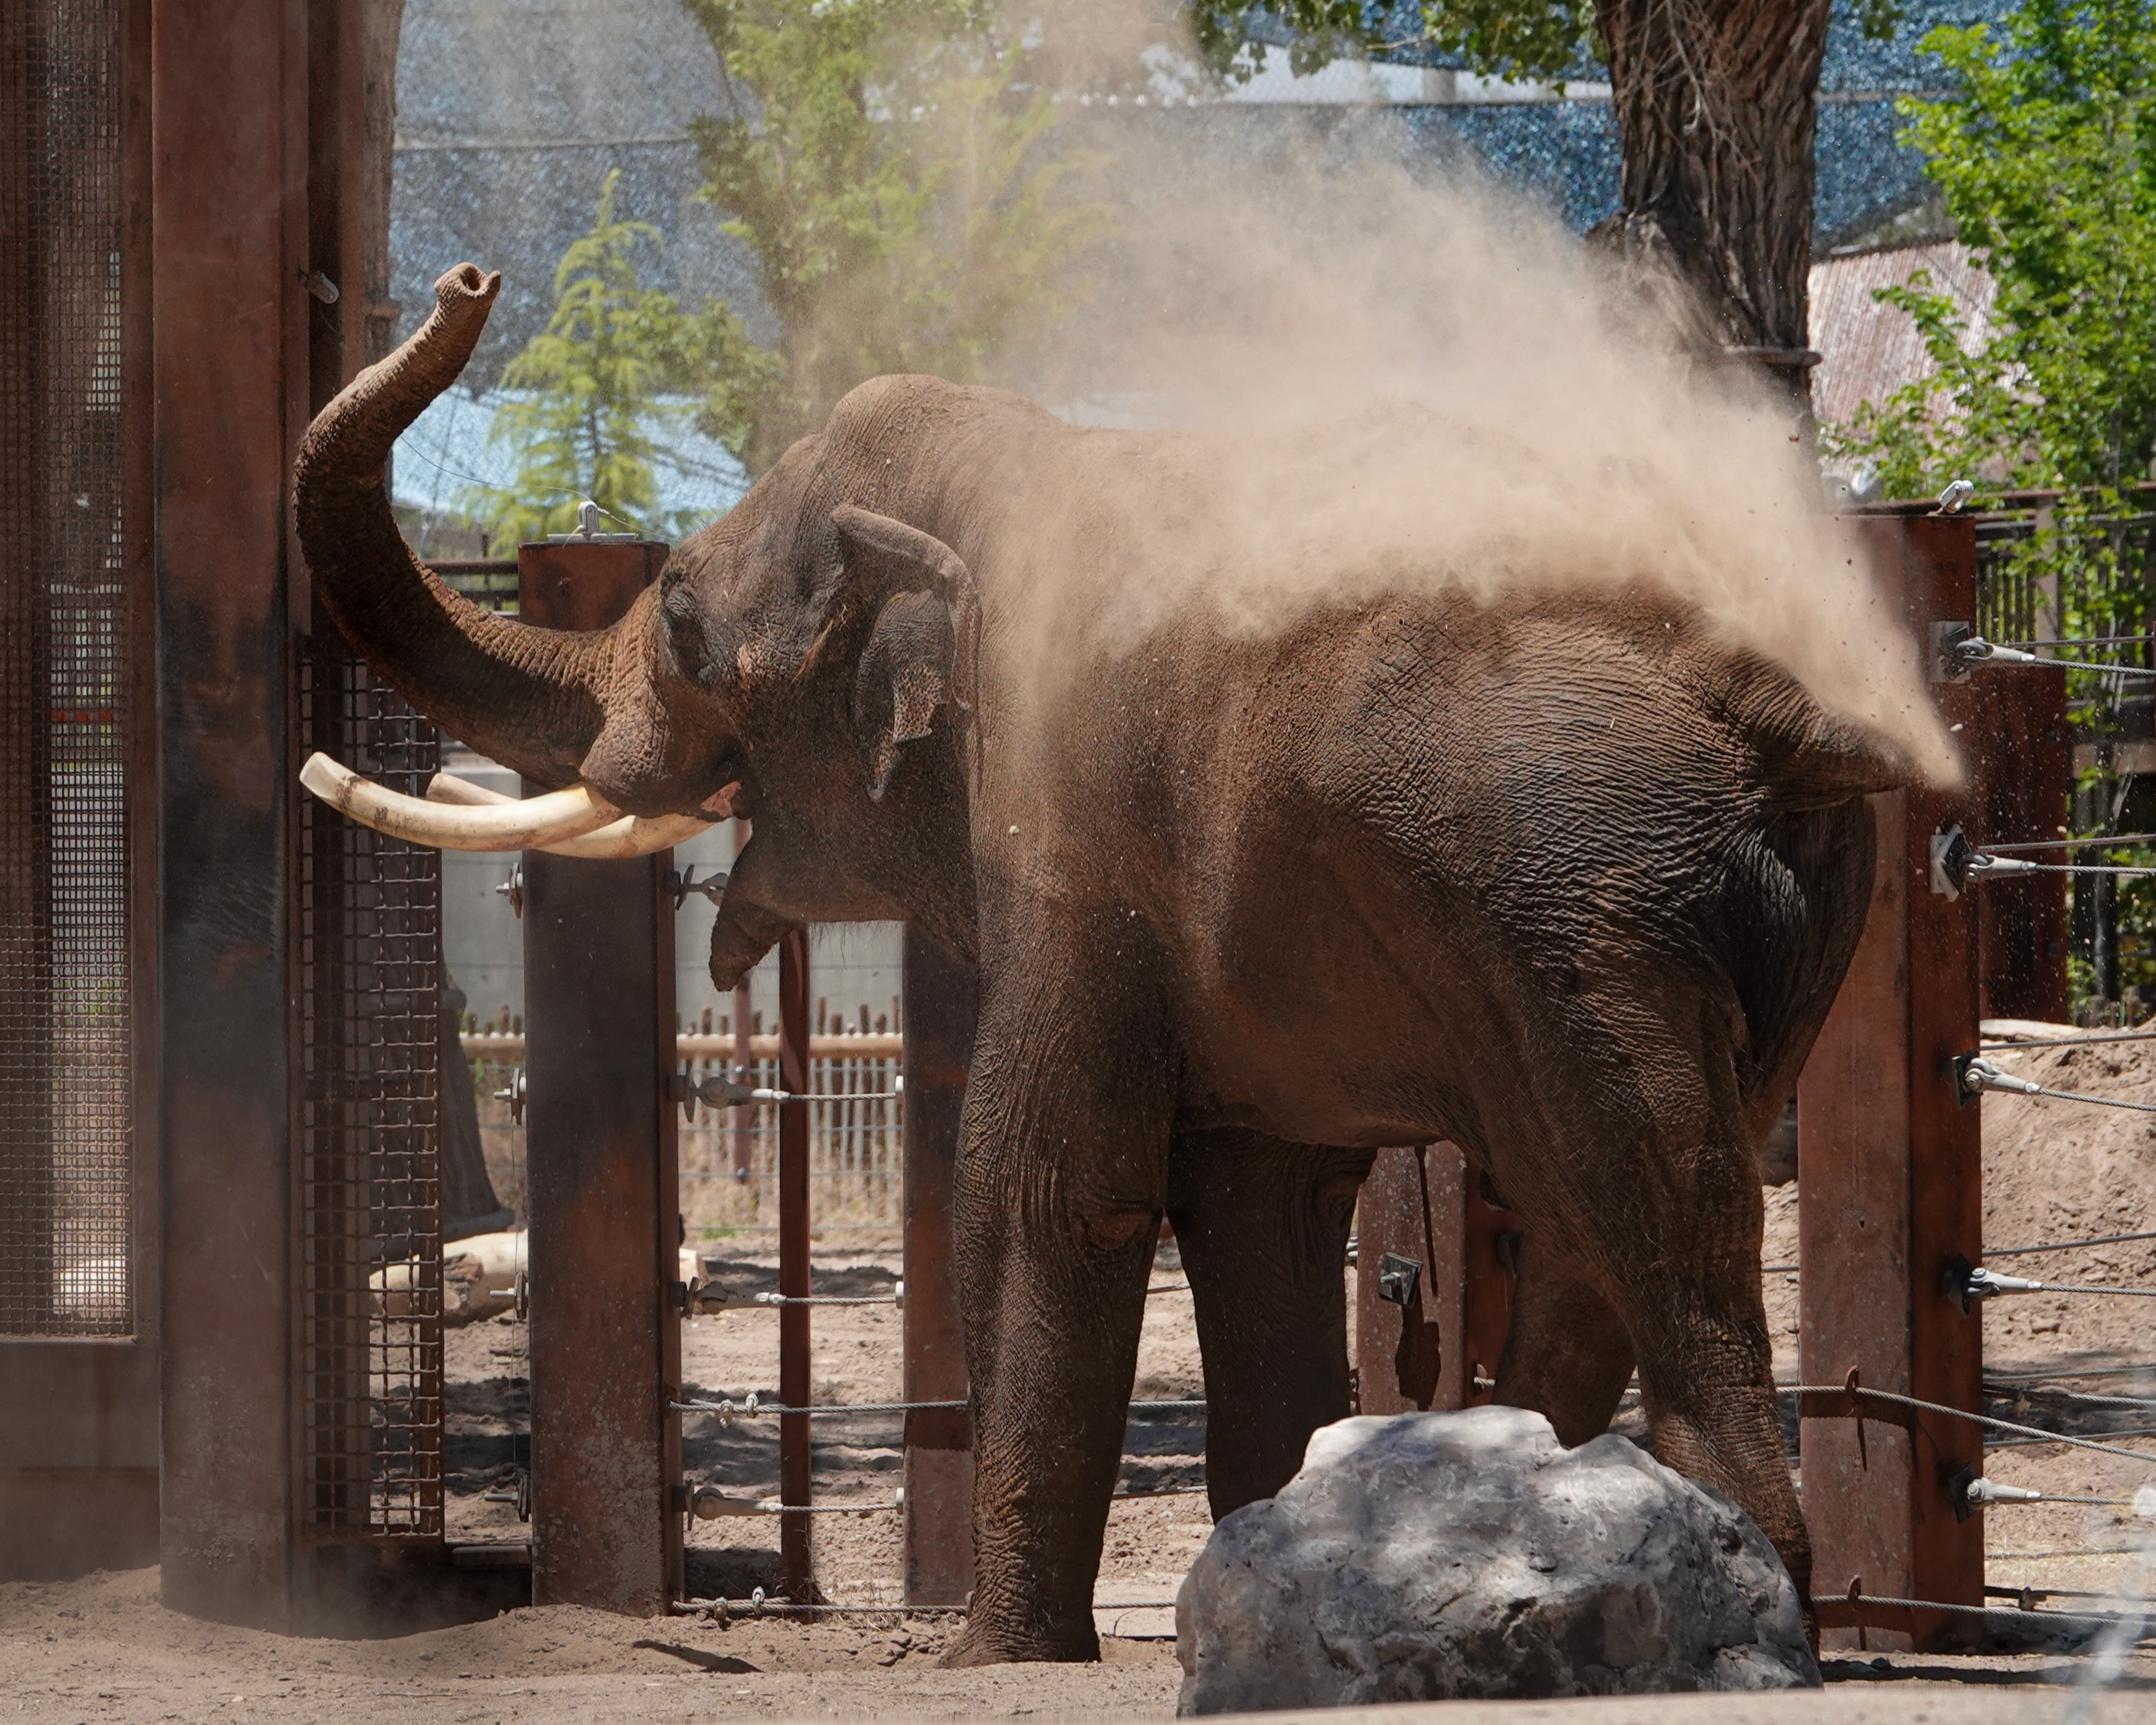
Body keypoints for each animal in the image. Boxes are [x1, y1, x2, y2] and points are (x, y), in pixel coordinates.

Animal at [296, 264, 1942, 1665]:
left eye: (688, 620)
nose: (466, 282)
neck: (1012, 461)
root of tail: (1776, 688)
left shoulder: (1066, 823)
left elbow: (1044, 1184)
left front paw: (999, 1654)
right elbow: (1261, 1208)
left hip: (1588, 879)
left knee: (1652, 1192)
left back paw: (1749, 1603)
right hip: (1758, 904)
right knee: (1588, 1198)